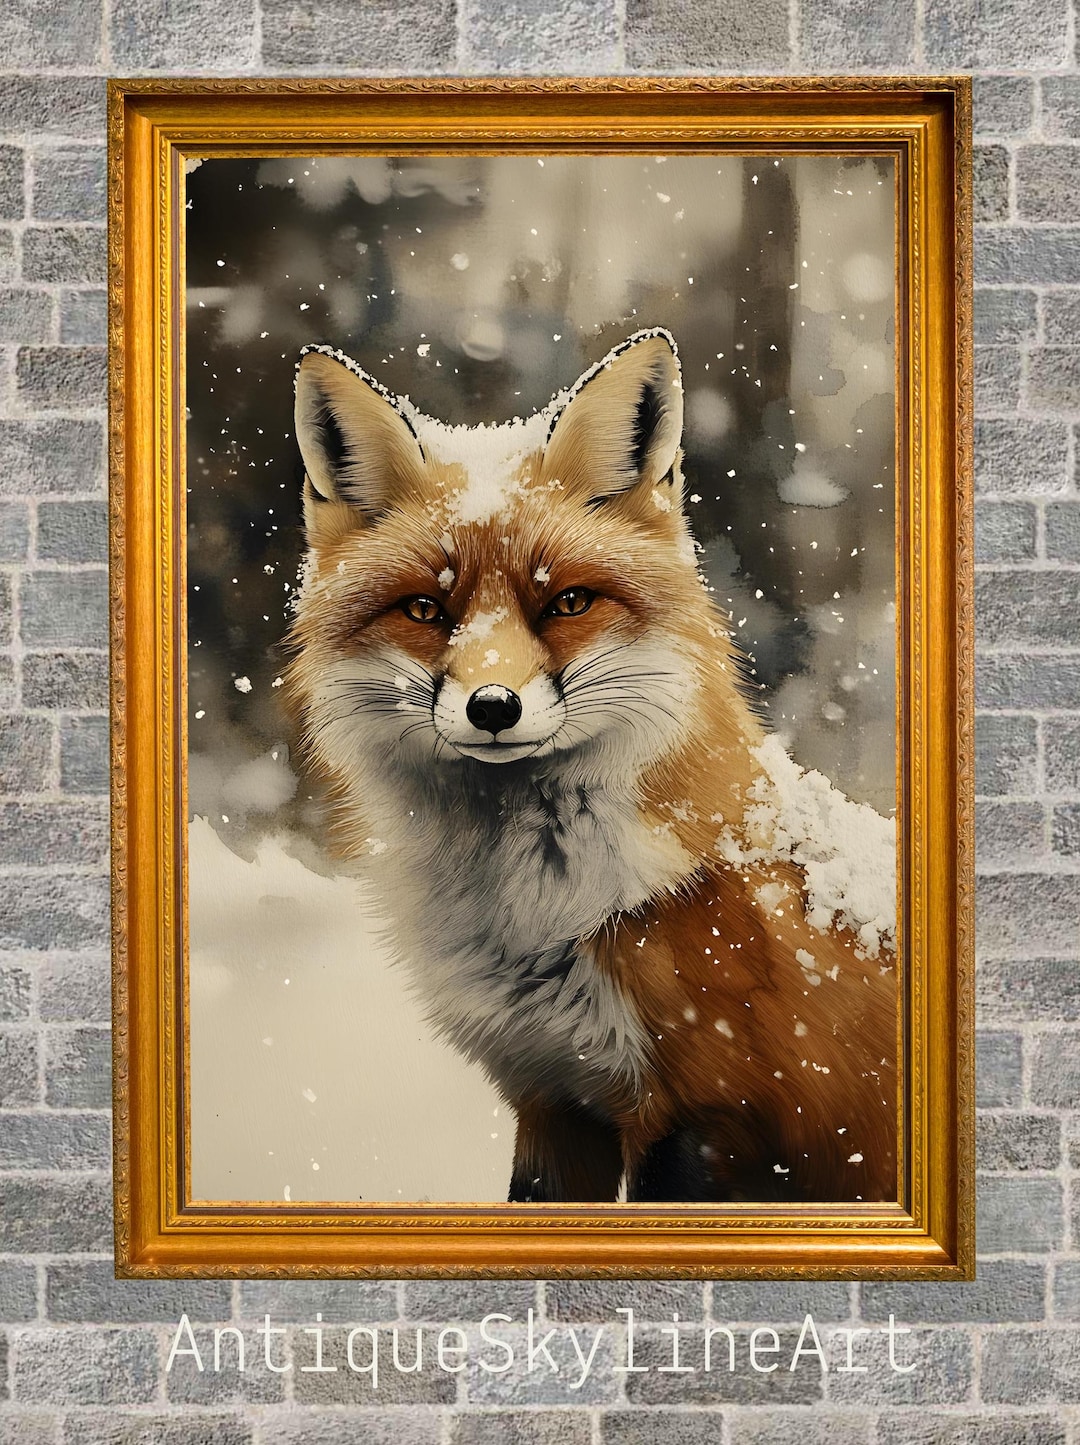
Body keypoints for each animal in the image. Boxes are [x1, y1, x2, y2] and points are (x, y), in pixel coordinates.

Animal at [283, 328, 898, 1205]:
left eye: (567, 602)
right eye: (426, 609)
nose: (493, 706)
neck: (540, 919)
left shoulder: (706, 1113)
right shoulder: (552, 1099)